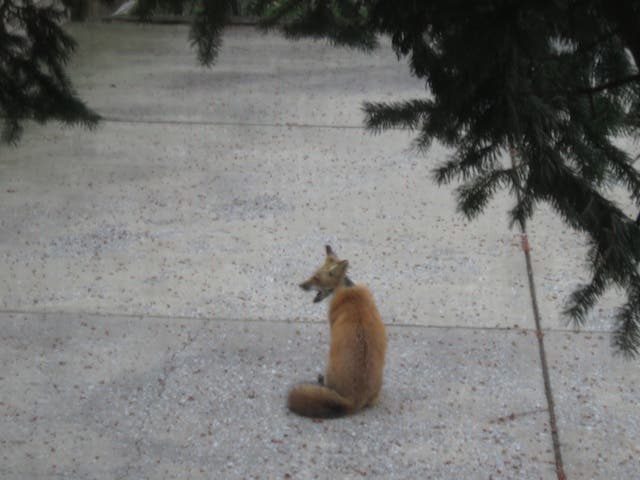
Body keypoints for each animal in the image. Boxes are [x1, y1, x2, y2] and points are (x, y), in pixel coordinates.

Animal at [288, 245, 386, 418]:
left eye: (316, 278)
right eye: (313, 275)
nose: (300, 285)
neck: (347, 290)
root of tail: (354, 401)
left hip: (330, 365)